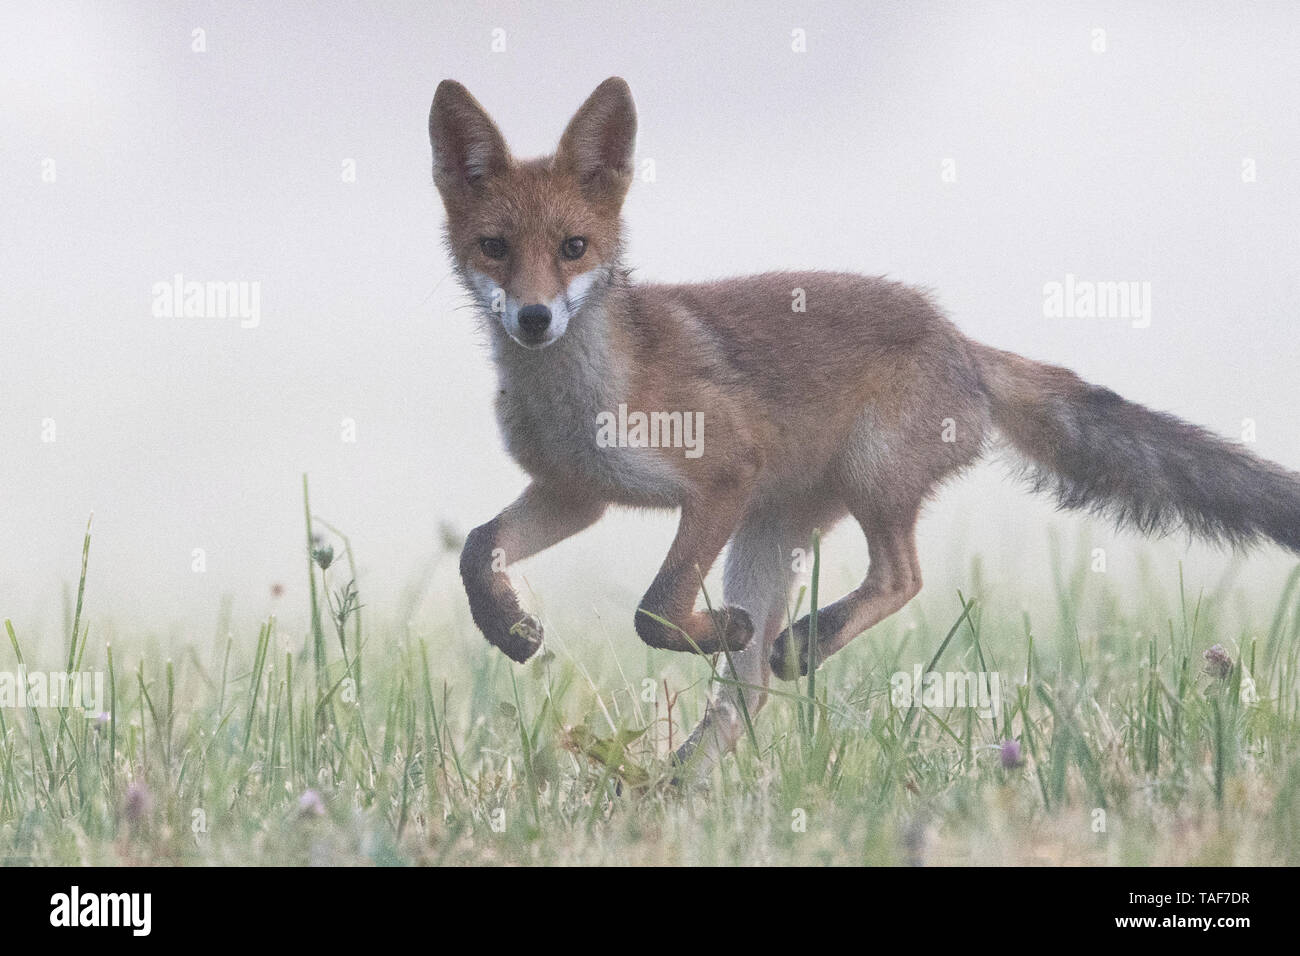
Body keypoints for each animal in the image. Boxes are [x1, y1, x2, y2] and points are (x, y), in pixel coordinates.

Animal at [430, 76, 1300, 770]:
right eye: (495, 248)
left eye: (574, 247)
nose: (534, 319)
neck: (585, 397)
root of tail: (958, 338)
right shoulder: (577, 492)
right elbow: (478, 550)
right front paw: (508, 628)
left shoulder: (723, 474)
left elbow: (656, 607)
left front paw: (711, 627)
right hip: (772, 533)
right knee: (749, 692)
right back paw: (674, 783)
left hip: (864, 478)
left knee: (897, 581)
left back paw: (800, 644)